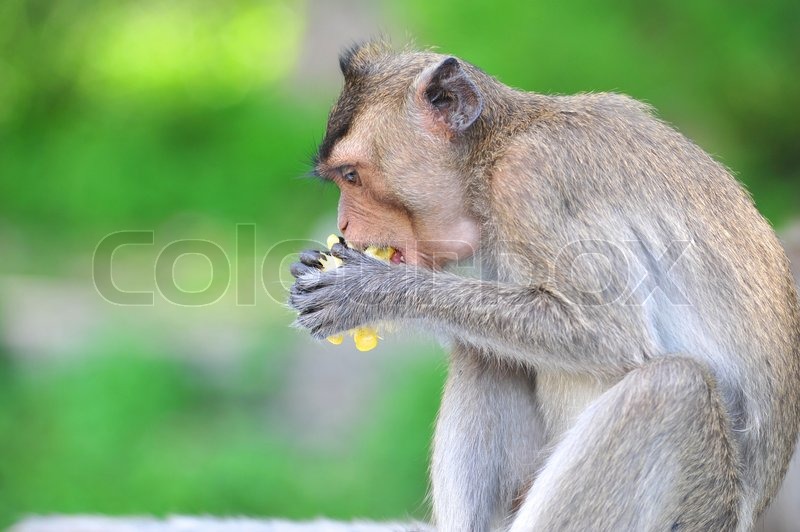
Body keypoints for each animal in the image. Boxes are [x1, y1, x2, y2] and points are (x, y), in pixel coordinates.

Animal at [288, 42, 800, 532]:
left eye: (352, 176)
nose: (344, 224)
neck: (496, 151)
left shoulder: (532, 182)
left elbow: (608, 335)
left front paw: (370, 291)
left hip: (704, 507)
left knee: (673, 388)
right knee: (487, 351)